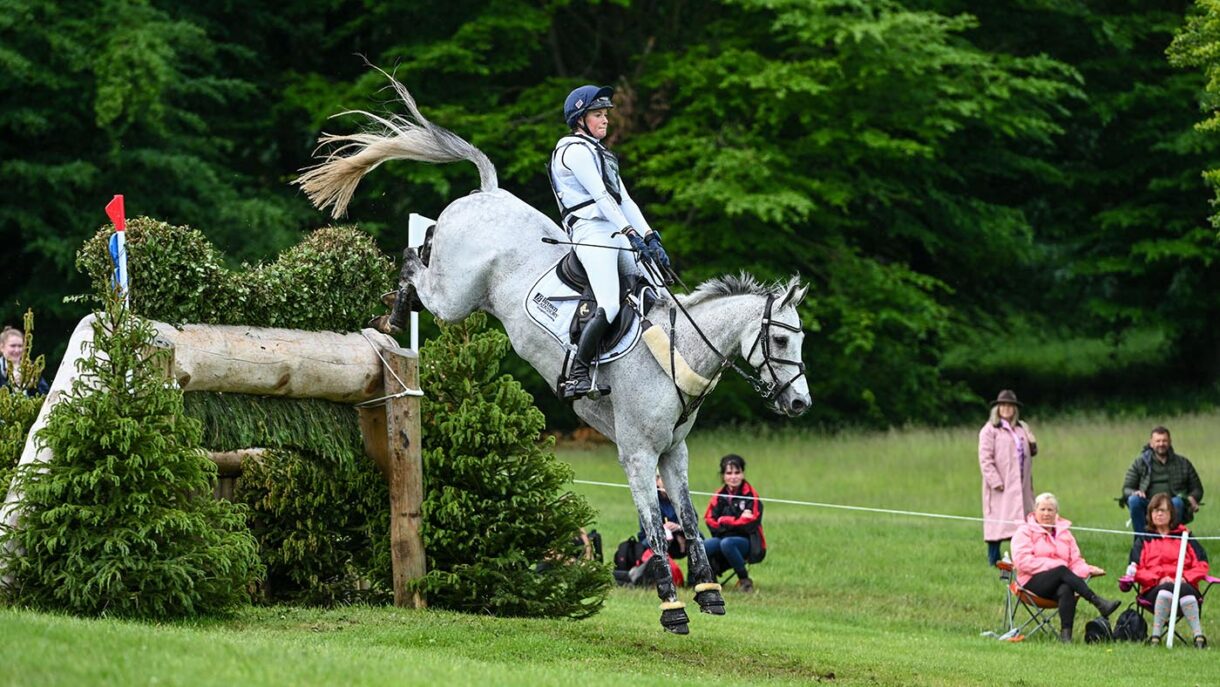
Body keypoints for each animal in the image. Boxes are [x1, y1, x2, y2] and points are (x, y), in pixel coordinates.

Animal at [296, 74, 812, 634]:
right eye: (780, 340)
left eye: (800, 339)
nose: (800, 404)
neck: (677, 351)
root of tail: (488, 191)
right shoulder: (636, 452)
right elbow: (655, 526)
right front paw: (672, 607)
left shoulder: (674, 452)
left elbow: (690, 518)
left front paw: (709, 592)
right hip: (454, 297)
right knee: (414, 261)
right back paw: (392, 315)